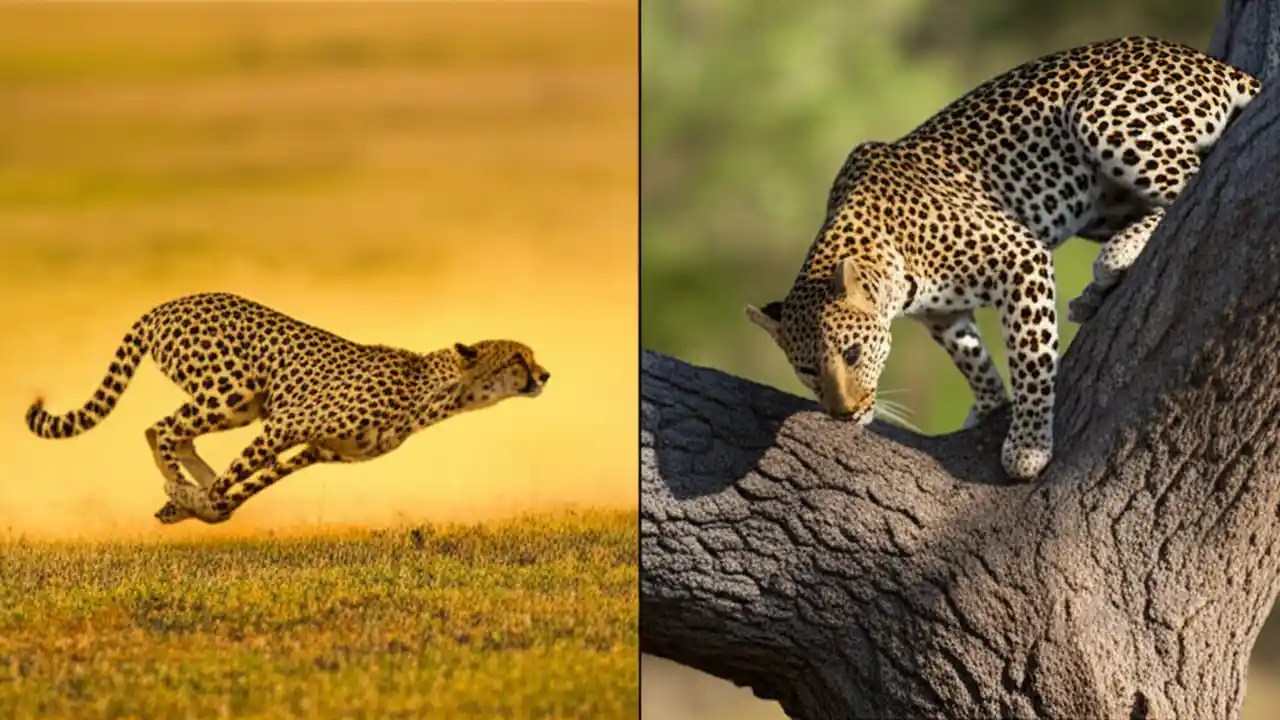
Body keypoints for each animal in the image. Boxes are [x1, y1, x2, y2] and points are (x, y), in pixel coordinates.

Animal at [25, 292, 551, 524]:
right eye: (518, 358)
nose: (545, 375)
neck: (432, 390)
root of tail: (165, 305)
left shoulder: (315, 449)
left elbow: (250, 483)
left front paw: (194, 505)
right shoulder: (284, 424)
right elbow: (233, 480)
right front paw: (191, 503)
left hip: (238, 404)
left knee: (171, 433)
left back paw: (185, 483)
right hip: (231, 392)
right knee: (162, 428)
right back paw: (177, 480)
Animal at [746, 36, 1259, 480]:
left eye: (852, 353)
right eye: (807, 370)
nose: (844, 413)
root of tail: (1206, 60)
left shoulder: (1021, 257)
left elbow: (1030, 356)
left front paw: (1028, 446)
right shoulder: (943, 315)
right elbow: (970, 358)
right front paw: (990, 406)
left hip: (1101, 117)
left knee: (1194, 178)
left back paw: (1117, 257)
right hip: (1099, 201)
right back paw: (1094, 294)